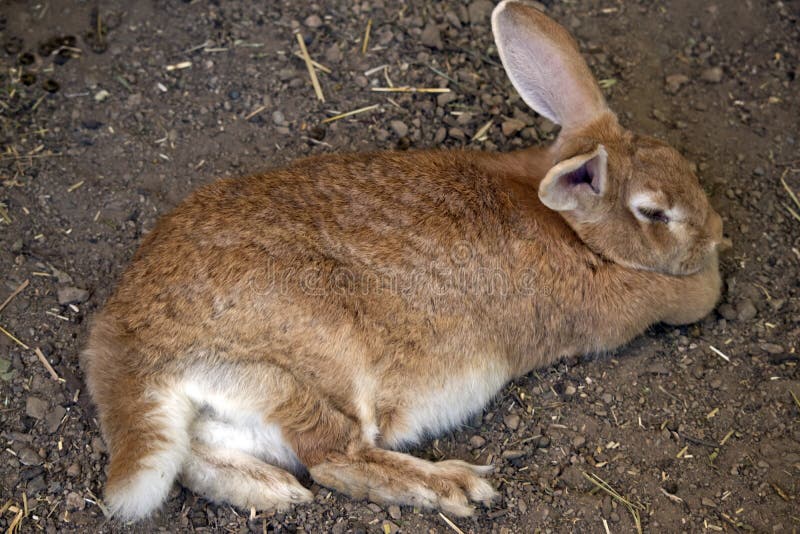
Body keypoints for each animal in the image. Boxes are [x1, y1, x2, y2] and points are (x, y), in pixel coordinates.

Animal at [81, 0, 727, 522]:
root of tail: (130, 362)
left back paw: (269, 491)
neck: (574, 228)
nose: (717, 235)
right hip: (319, 370)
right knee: (336, 458)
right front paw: (706, 285)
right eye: (654, 212)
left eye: (684, 166)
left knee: (200, 458)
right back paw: (451, 487)